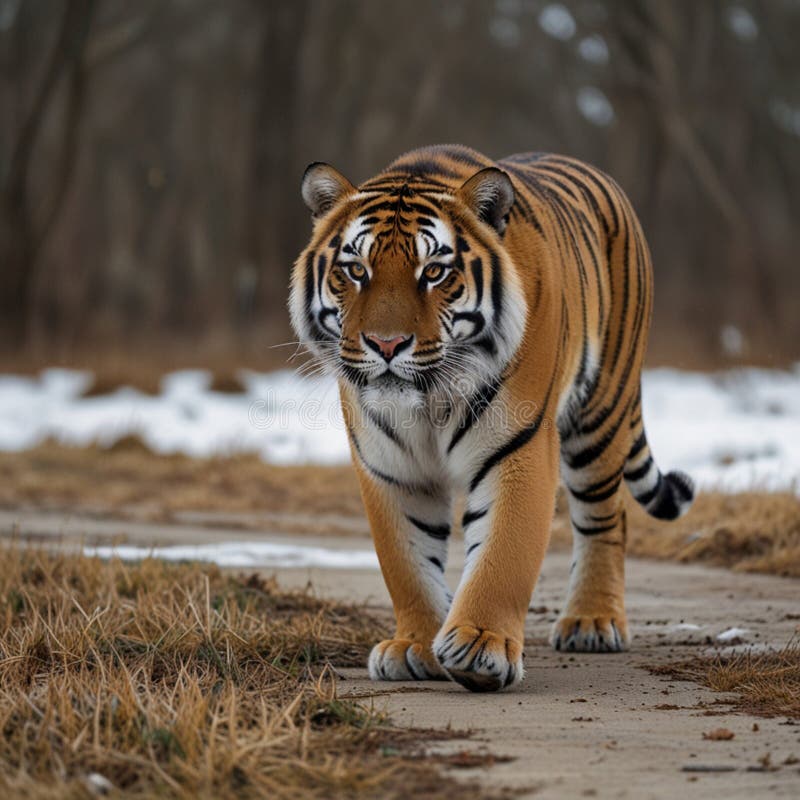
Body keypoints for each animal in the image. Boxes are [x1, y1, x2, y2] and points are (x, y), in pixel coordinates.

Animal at [289, 144, 694, 692]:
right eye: (356, 270)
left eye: (433, 272)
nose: (386, 345)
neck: (429, 401)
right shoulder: (390, 466)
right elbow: (407, 562)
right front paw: (415, 646)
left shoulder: (518, 446)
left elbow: (503, 553)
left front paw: (480, 646)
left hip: (600, 413)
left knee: (605, 517)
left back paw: (592, 621)